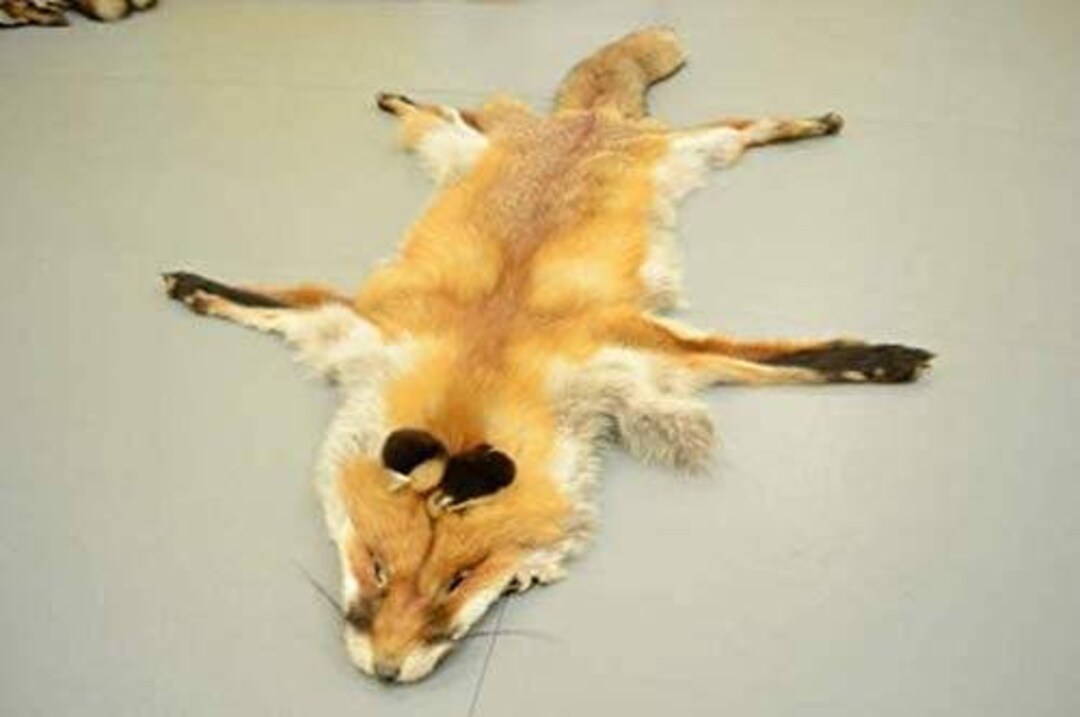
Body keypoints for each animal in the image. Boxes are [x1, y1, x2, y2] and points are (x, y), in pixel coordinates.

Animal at [162, 27, 933, 683]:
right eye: (377, 568)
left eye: (458, 579)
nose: (384, 671)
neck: (486, 355)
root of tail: (583, 119)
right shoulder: (374, 326)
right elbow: (273, 299)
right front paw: (196, 287)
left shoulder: (629, 345)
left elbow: (775, 355)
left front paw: (885, 357)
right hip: (468, 144)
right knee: (455, 112)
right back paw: (400, 99)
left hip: (693, 150)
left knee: (742, 125)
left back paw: (807, 123)